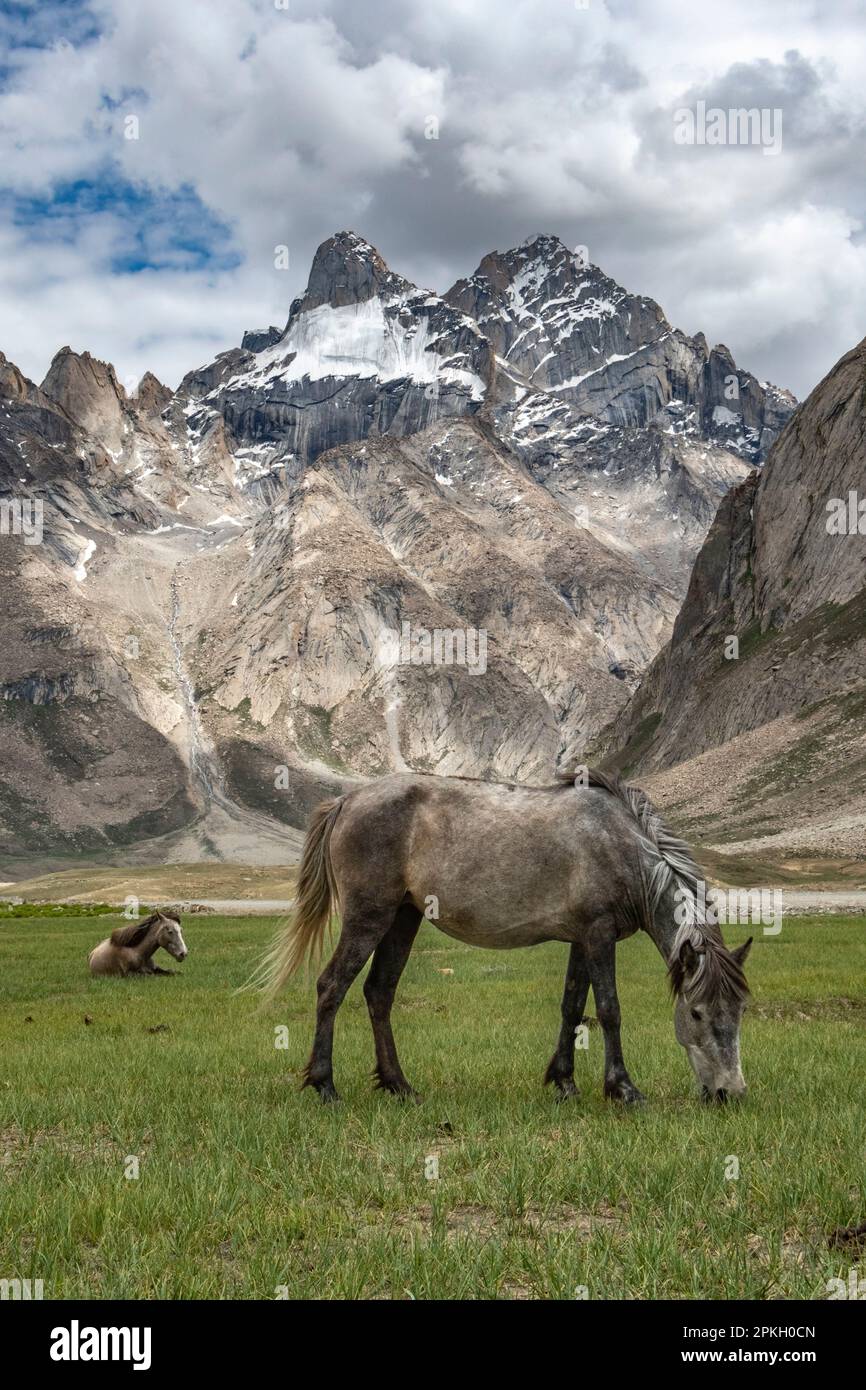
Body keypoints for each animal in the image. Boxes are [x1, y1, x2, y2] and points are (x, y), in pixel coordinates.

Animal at [255, 769, 751, 1104]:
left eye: (740, 1011)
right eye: (697, 1013)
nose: (730, 1092)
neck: (620, 845)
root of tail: (348, 799)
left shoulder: (582, 938)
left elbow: (572, 1006)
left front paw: (564, 1082)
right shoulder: (599, 934)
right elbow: (609, 1010)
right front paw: (623, 1089)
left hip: (402, 918)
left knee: (379, 993)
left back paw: (400, 1086)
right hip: (368, 916)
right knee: (332, 987)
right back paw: (325, 1086)